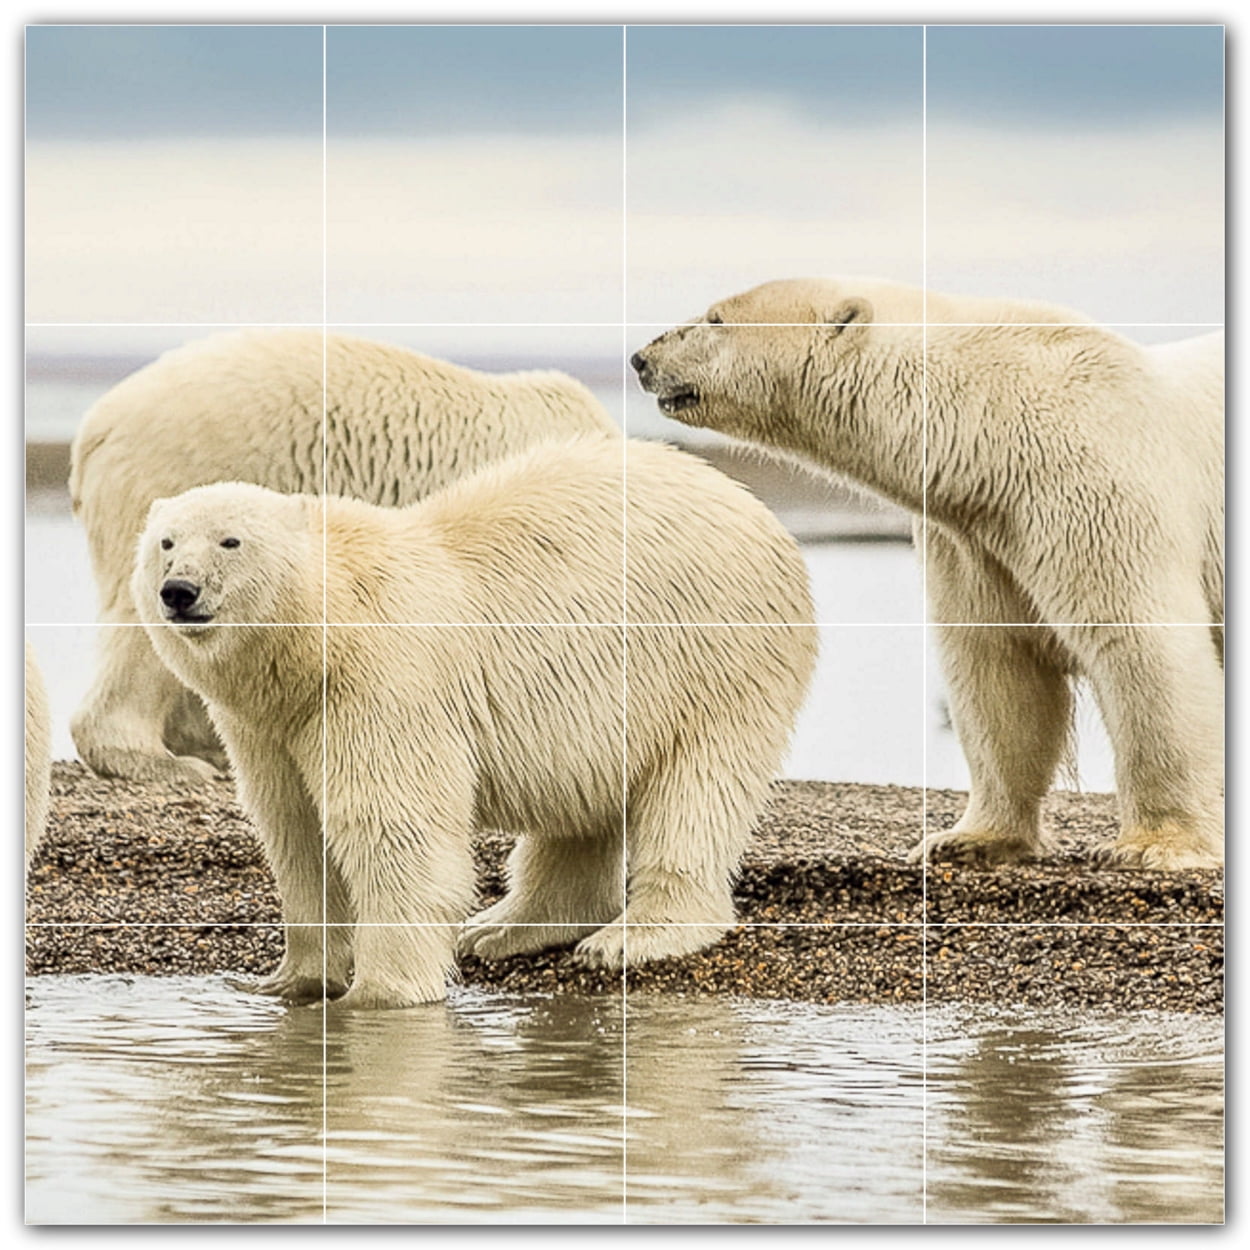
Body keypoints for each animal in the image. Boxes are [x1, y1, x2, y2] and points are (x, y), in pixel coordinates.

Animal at [131, 435, 817, 1008]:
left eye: (230, 541)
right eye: (166, 542)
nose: (179, 590)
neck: (320, 636)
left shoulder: (381, 684)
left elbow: (393, 827)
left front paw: (380, 993)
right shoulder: (268, 723)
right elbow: (294, 828)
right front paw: (290, 980)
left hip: (712, 657)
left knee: (695, 789)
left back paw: (627, 938)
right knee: (582, 805)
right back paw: (504, 928)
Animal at [631, 278, 1224, 870]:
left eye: (715, 319)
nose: (642, 358)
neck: (996, 424)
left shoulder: (1094, 492)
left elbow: (1139, 645)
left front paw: (1154, 846)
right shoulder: (973, 539)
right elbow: (996, 670)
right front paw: (969, 838)